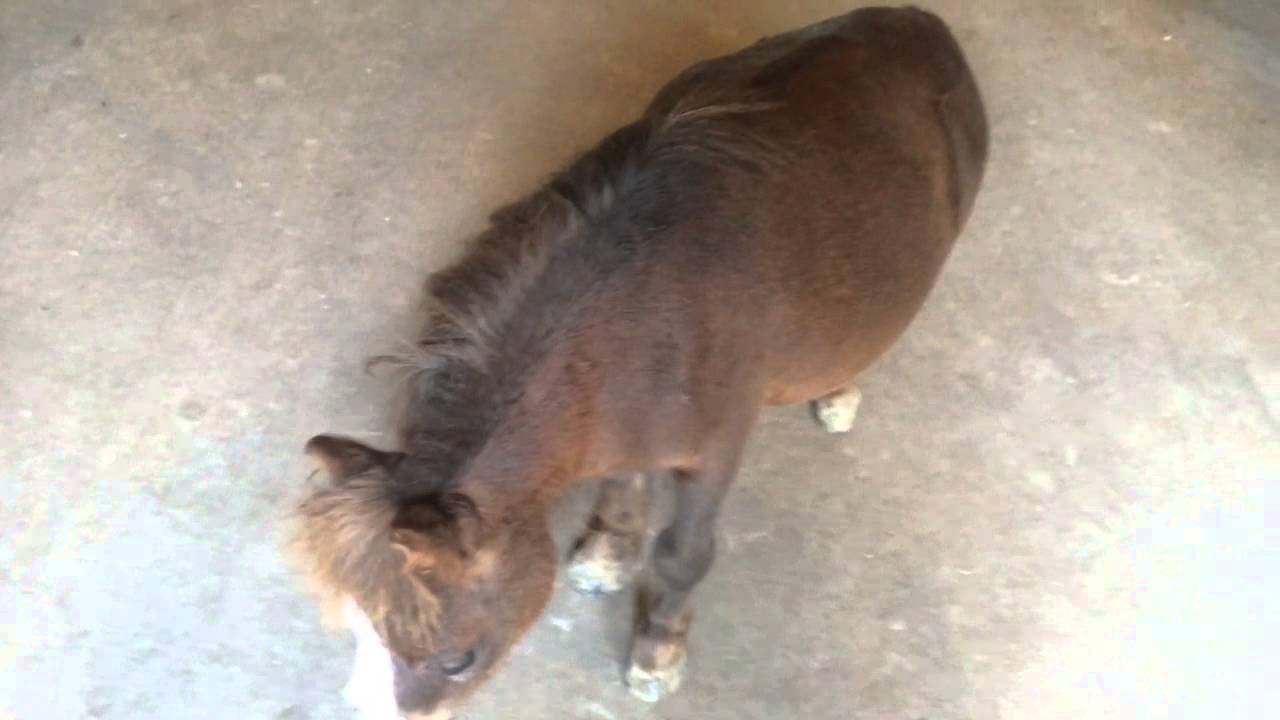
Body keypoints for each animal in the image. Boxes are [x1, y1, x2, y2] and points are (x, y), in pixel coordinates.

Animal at [288, 6, 988, 718]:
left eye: (457, 658)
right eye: (358, 633)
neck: (649, 319)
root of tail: (916, 23)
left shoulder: (714, 456)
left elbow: (683, 556)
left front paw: (657, 655)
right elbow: (622, 485)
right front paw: (606, 555)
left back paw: (839, 393)